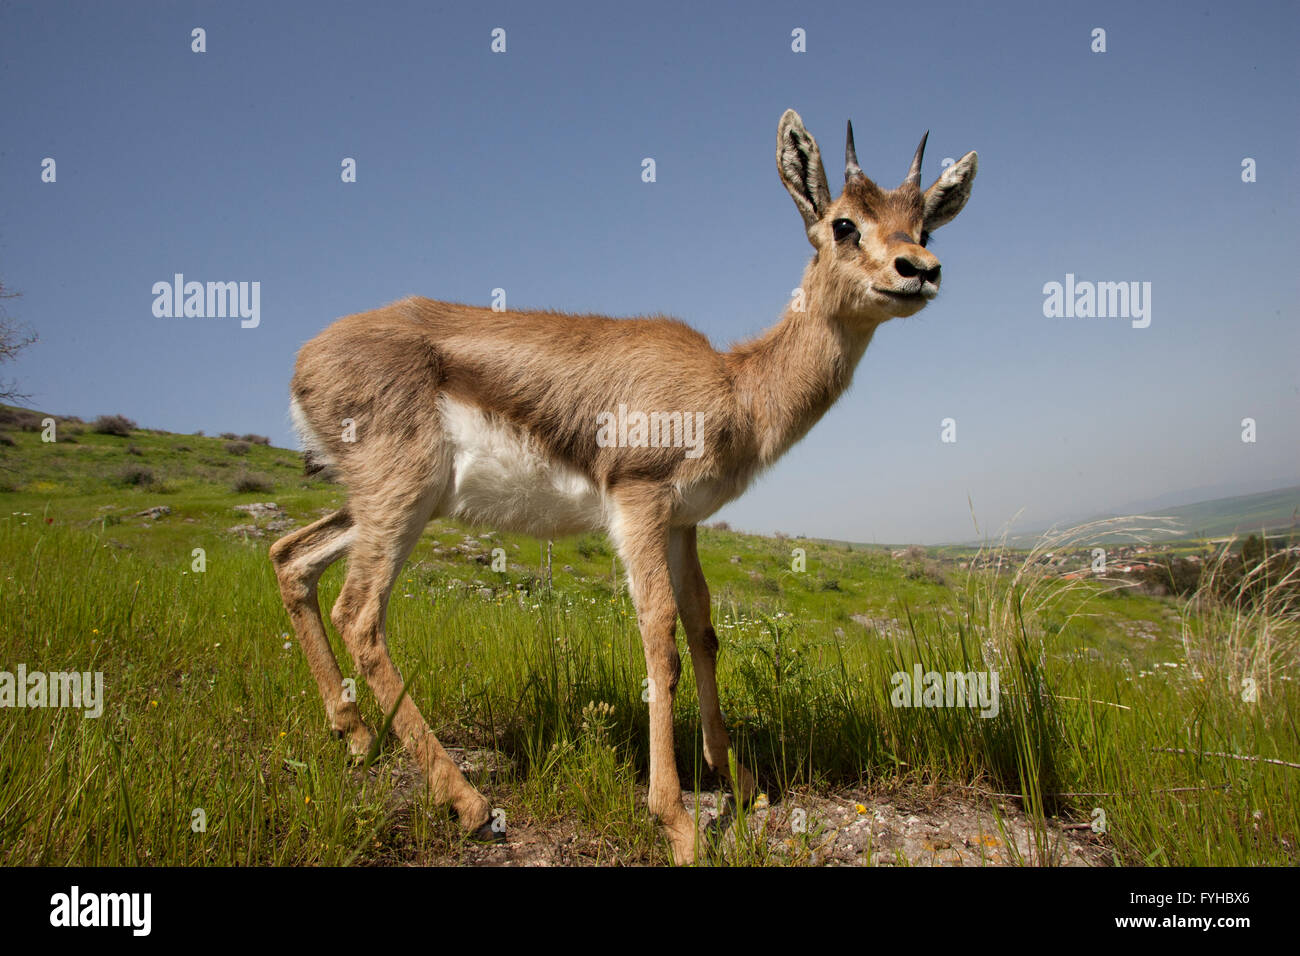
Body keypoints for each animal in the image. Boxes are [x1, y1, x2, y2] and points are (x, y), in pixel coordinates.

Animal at [270, 109, 977, 864]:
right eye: (845, 223)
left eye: (924, 226)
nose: (920, 271)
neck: (736, 387)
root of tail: (304, 361)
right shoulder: (638, 503)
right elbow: (659, 638)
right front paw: (678, 823)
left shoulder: (683, 523)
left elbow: (703, 629)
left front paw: (741, 780)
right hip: (402, 499)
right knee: (359, 614)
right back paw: (469, 803)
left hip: (390, 504)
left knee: (291, 558)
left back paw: (355, 736)